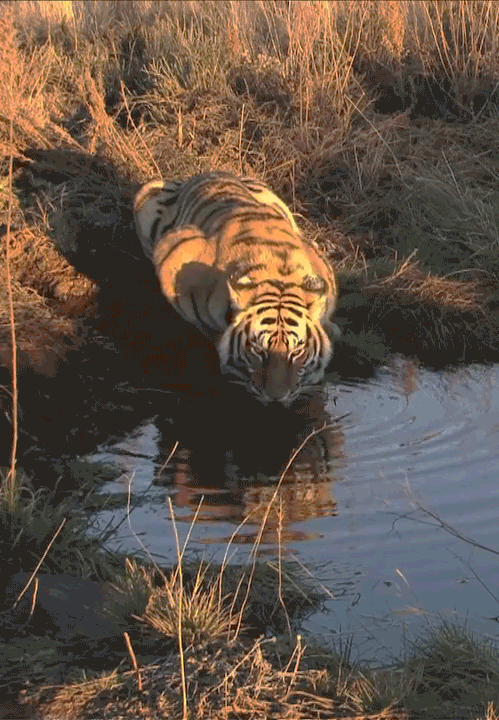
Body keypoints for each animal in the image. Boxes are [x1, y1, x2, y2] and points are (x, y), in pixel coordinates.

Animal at [133, 171, 339, 404]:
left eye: (296, 352)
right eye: (258, 350)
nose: (276, 397)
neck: (278, 273)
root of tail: (208, 173)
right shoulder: (173, 253)